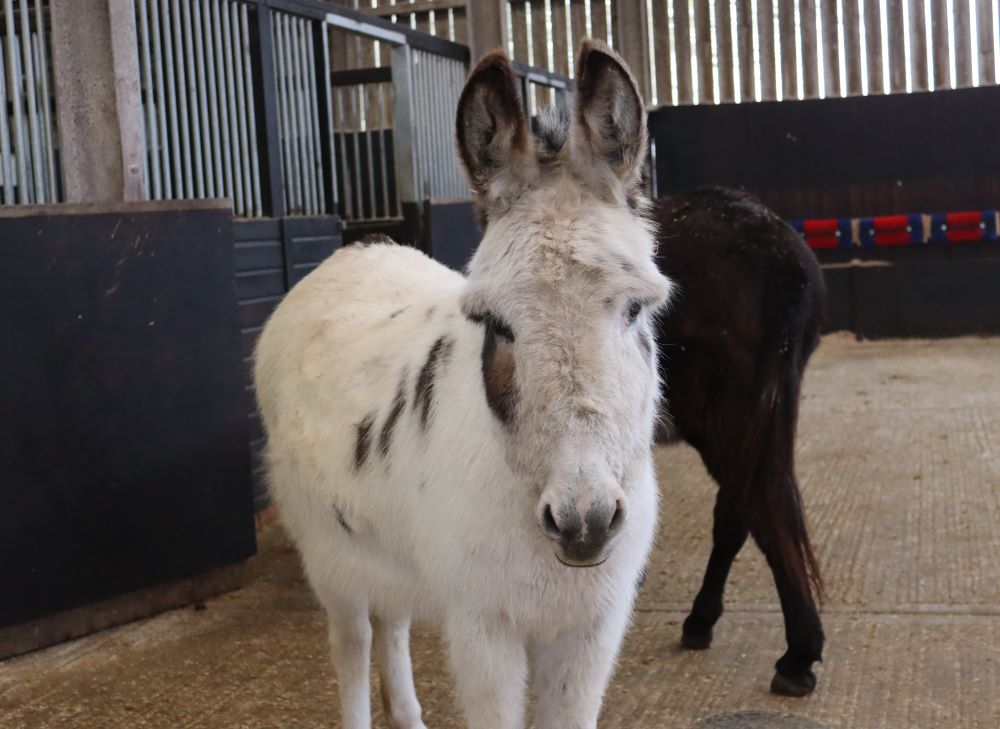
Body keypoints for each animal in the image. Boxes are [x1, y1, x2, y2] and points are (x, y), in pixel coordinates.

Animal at [253, 41, 672, 729]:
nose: (583, 522)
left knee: (393, 623)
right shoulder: (484, 629)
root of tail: (360, 246)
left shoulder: (591, 629)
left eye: (637, 308)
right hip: (330, 557)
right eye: (496, 324)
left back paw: (409, 715)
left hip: (392, 549)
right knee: (353, 645)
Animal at [653, 187, 827, 696]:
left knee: (764, 510)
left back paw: (797, 655)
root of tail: (779, 258)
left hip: (724, 416)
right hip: (754, 416)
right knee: (745, 512)